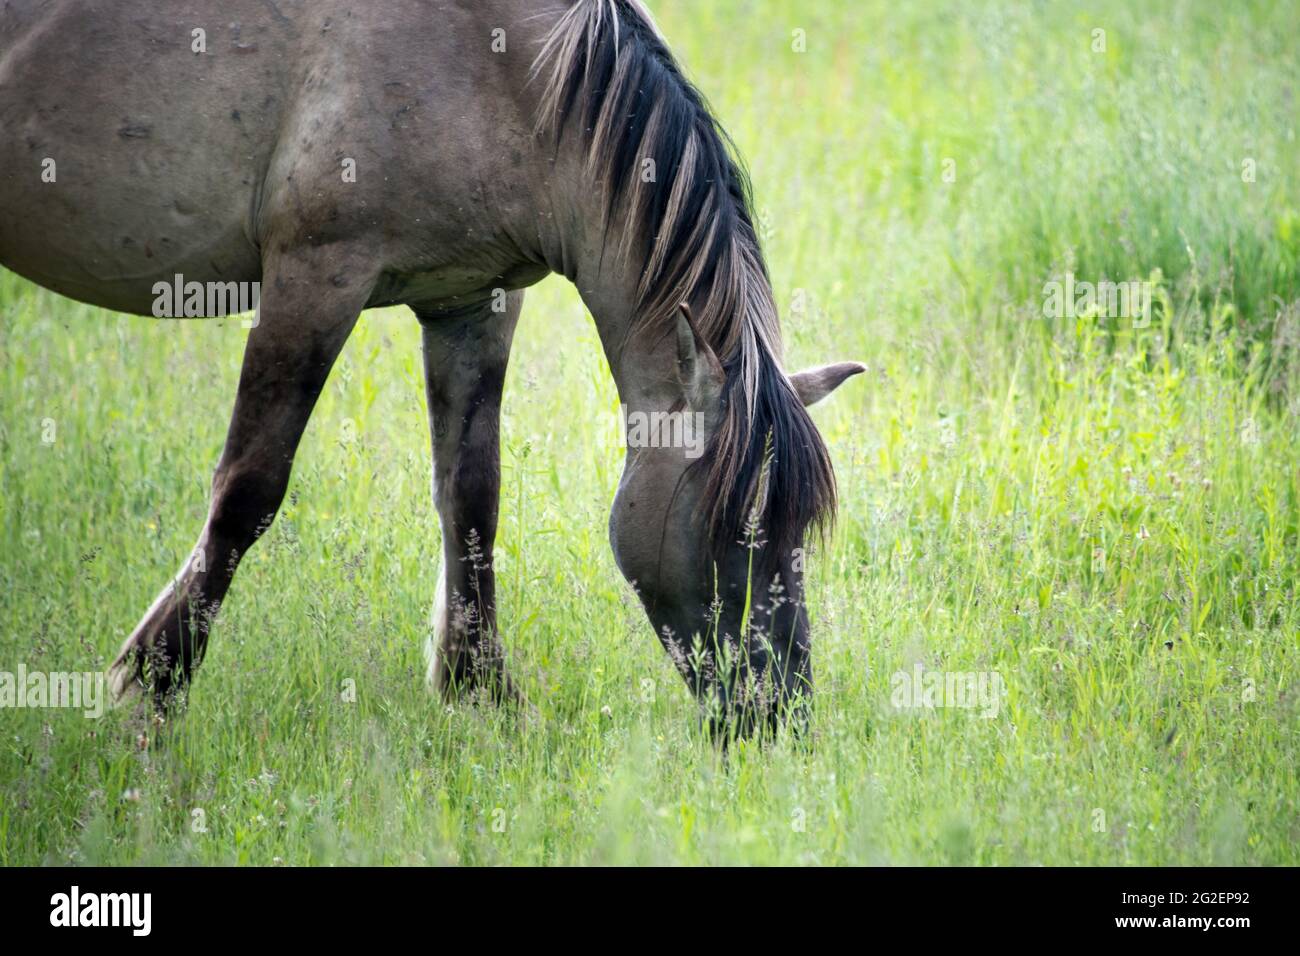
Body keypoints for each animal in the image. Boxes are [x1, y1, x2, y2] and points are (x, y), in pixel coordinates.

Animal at [0, 0, 864, 737]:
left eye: (799, 530)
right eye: (738, 528)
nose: (783, 717)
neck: (507, 68)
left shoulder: (471, 303)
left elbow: (471, 496)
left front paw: (481, 695)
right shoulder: (315, 280)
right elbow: (248, 491)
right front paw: (154, 686)